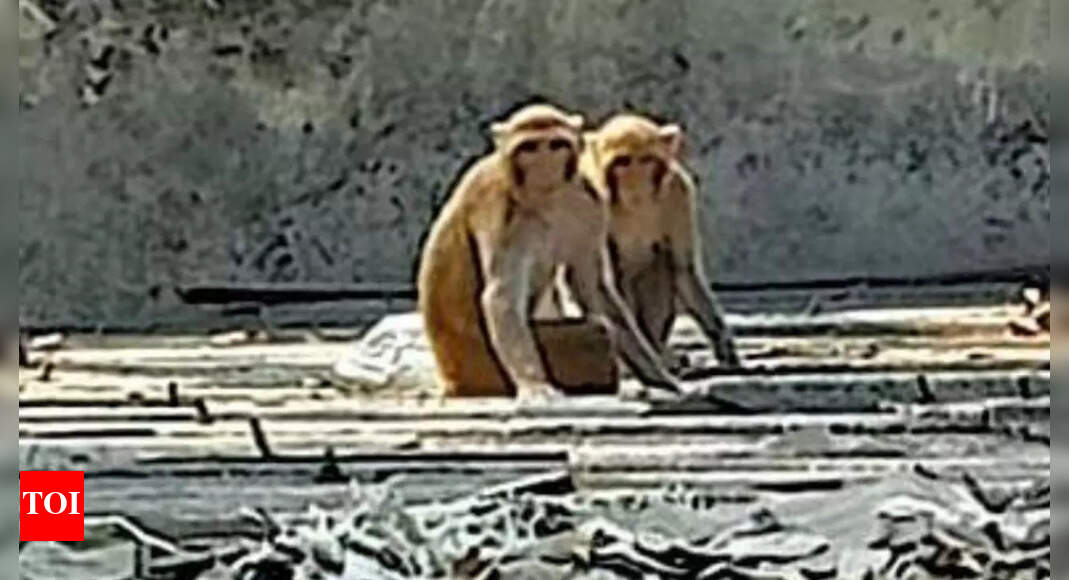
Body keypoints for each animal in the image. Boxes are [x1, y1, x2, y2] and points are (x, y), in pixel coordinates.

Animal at [416, 103, 682, 401]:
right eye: (530, 147)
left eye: (555, 145)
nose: (544, 164)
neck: (545, 198)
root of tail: (449, 377)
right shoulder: (498, 207)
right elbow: (501, 296)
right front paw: (535, 385)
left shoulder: (589, 201)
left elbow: (593, 286)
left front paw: (657, 374)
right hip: (483, 366)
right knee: (597, 332)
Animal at [551, 113, 742, 370]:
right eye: (623, 162)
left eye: (645, 160)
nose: (634, 183)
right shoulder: (589, 198)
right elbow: (597, 282)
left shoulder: (678, 191)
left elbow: (684, 269)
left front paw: (723, 344)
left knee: (662, 262)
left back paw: (658, 349)